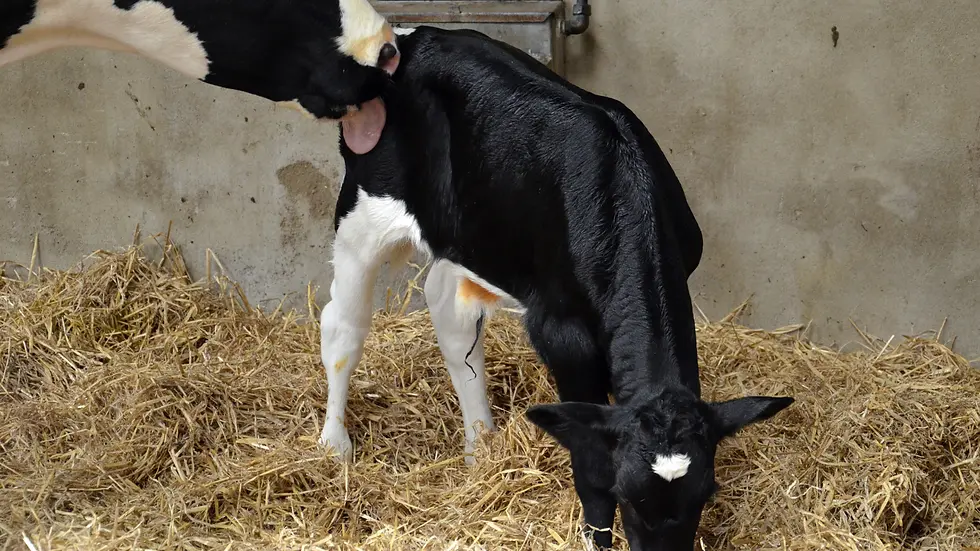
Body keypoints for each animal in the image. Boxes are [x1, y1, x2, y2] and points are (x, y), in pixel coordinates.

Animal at [318, 25, 794, 551]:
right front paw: (595, 535)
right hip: (363, 210)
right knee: (343, 328)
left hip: (469, 235)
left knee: (449, 313)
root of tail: (412, 37)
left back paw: (480, 445)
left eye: (706, 493)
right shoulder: (563, 334)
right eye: (627, 495)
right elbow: (588, 463)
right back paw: (334, 446)